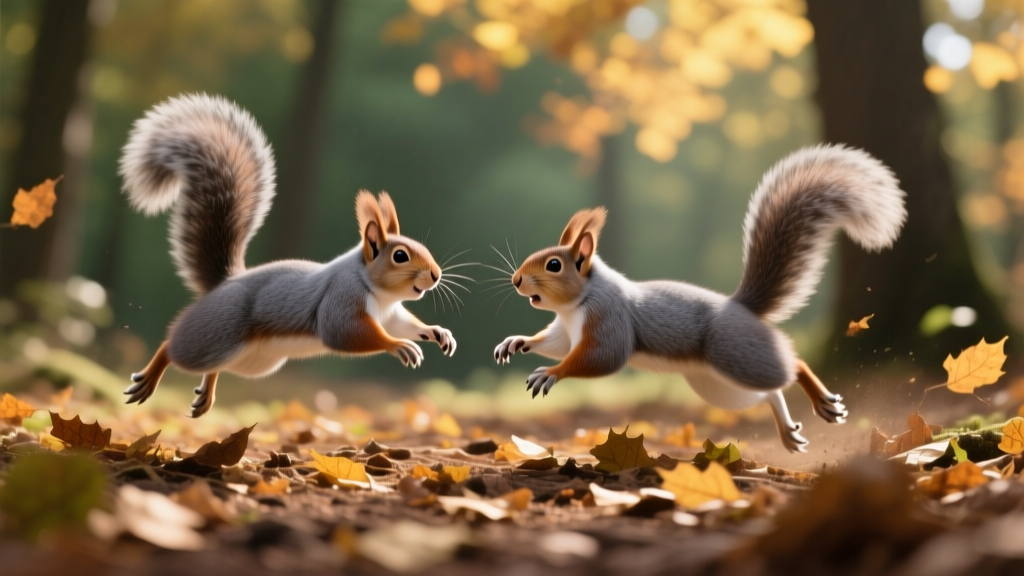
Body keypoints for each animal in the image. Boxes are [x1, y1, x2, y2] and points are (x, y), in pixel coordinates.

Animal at [118, 93, 456, 417]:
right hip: (216, 333)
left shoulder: (390, 314)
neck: (378, 292)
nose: (436, 275)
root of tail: (222, 285)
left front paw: (436, 332)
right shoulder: (341, 298)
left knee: (216, 367)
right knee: (173, 347)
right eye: (400, 256)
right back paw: (150, 377)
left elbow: (404, 323)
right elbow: (344, 332)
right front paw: (399, 345)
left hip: (253, 363)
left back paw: (206, 395)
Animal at [493, 145, 907, 452]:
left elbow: (601, 357)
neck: (575, 306)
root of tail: (742, 308)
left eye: (553, 265)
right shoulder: (566, 330)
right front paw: (516, 342)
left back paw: (821, 399)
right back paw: (788, 431)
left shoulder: (608, 319)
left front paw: (551, 373)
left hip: (736, 353)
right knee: (770, 393)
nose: (516, 280)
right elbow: (553, 342)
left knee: (794, 365)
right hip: (719, 385)